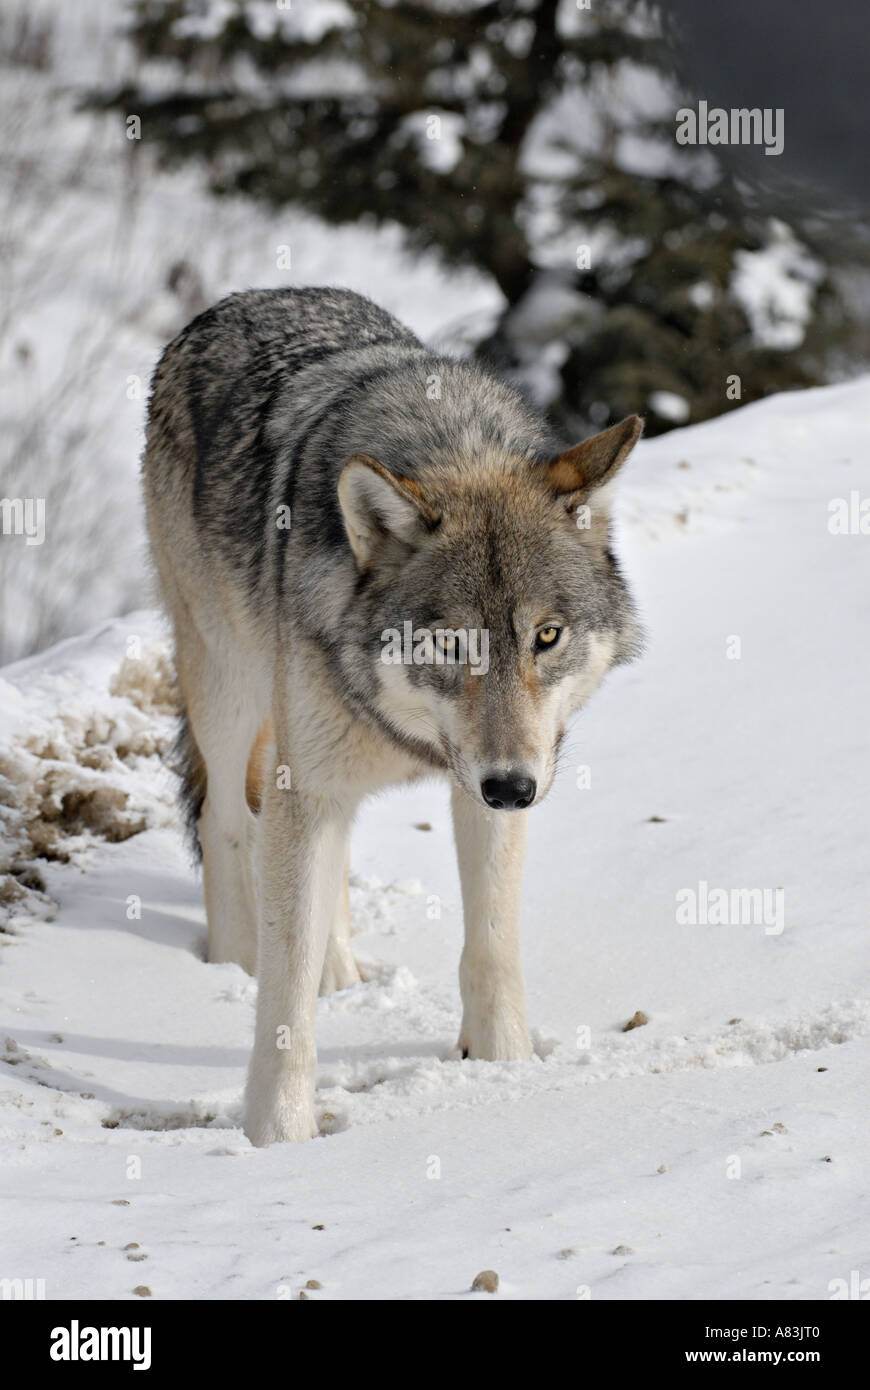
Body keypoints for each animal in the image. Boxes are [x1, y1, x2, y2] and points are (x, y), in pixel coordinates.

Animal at [142, 287, 644, 1145]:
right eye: (447, 641)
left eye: (546, 637)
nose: (512, 790)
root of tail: (238, 300)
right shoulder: (313, 781)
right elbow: (284, 1002)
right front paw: (277, 1137)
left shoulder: (483, 781)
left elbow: (491, 947)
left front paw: (507, 1075)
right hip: (232, 684)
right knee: (223, 820)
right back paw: (235, 956)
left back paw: (340, 971)